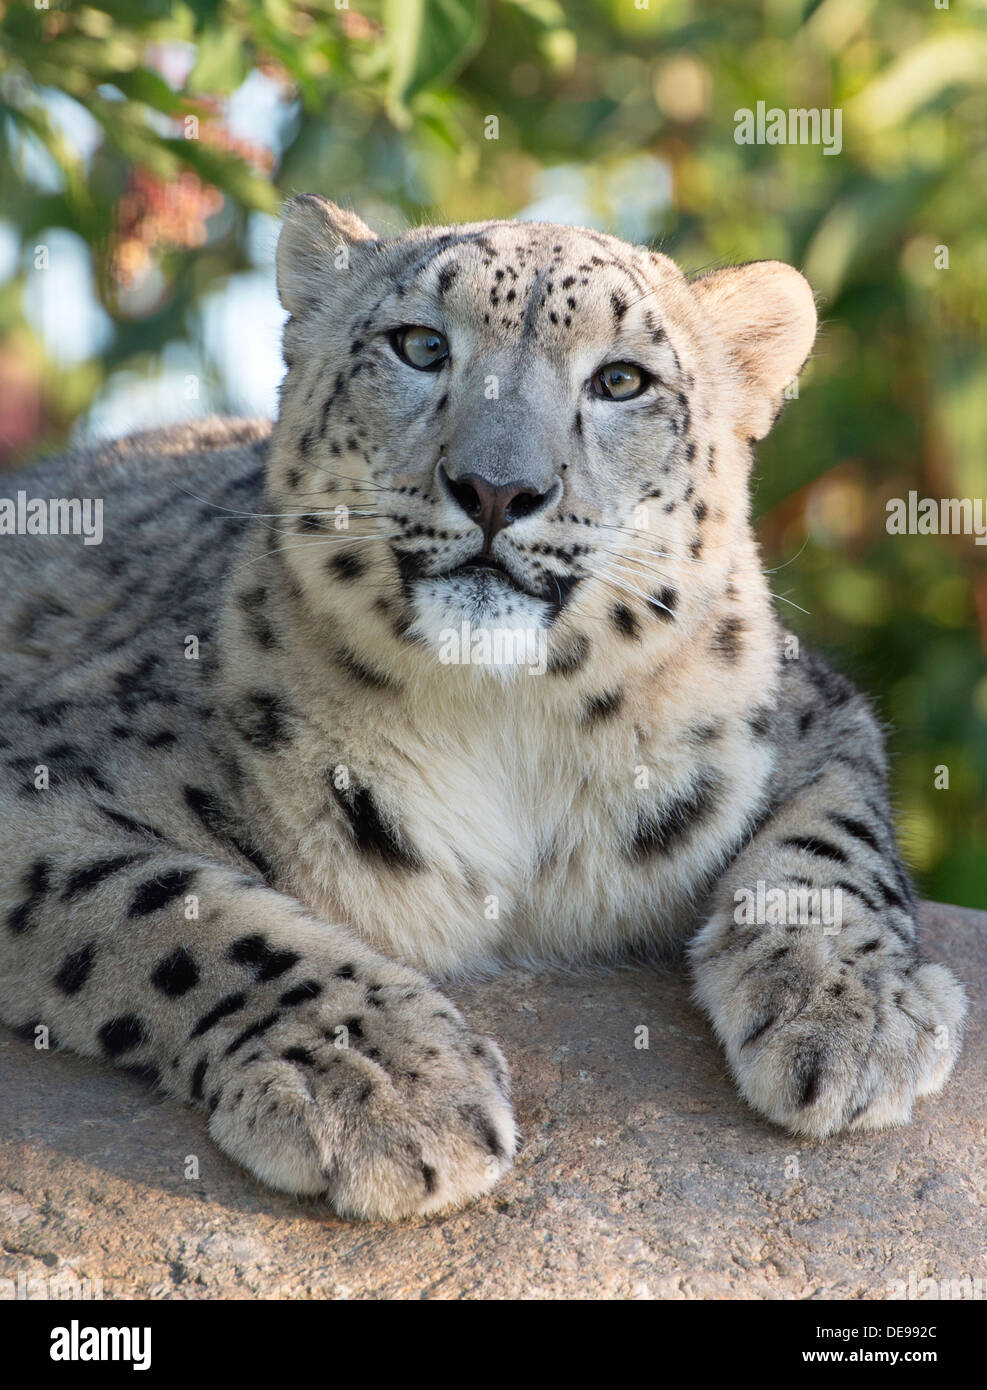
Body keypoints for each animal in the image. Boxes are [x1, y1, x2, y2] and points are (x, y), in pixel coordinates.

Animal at [0, 196, 966, 1221]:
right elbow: (173, 911)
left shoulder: (813, 709)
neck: (506, 725)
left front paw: (853, 1011)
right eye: (422, 345)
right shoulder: (46, 772)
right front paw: (388, 1082)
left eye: (621, 379)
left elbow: (835, 840)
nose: (498, 488)